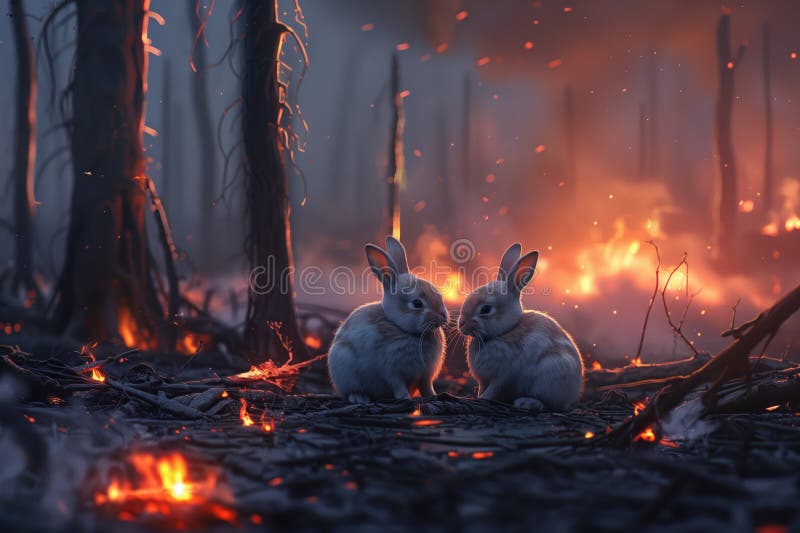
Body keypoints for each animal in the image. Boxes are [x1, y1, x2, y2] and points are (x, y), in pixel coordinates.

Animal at [328, 237, 449, 403]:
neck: (404, 329)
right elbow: (397, 385)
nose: (444, 316)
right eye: (417, 303)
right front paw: (405, 397)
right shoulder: (391, 371)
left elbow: (426, 387)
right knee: (349, 391)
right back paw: (359, 397)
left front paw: (434, 395)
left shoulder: (425, 375)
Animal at [458, 243, 584, 412]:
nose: (461, 324)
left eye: (486, 309)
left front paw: (481, 399)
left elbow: (494, 390)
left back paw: (526, 403)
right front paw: (477, 396)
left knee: (551, 405)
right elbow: (483, 387)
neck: (506, 331)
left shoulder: (505, 376)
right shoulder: (485, 380)